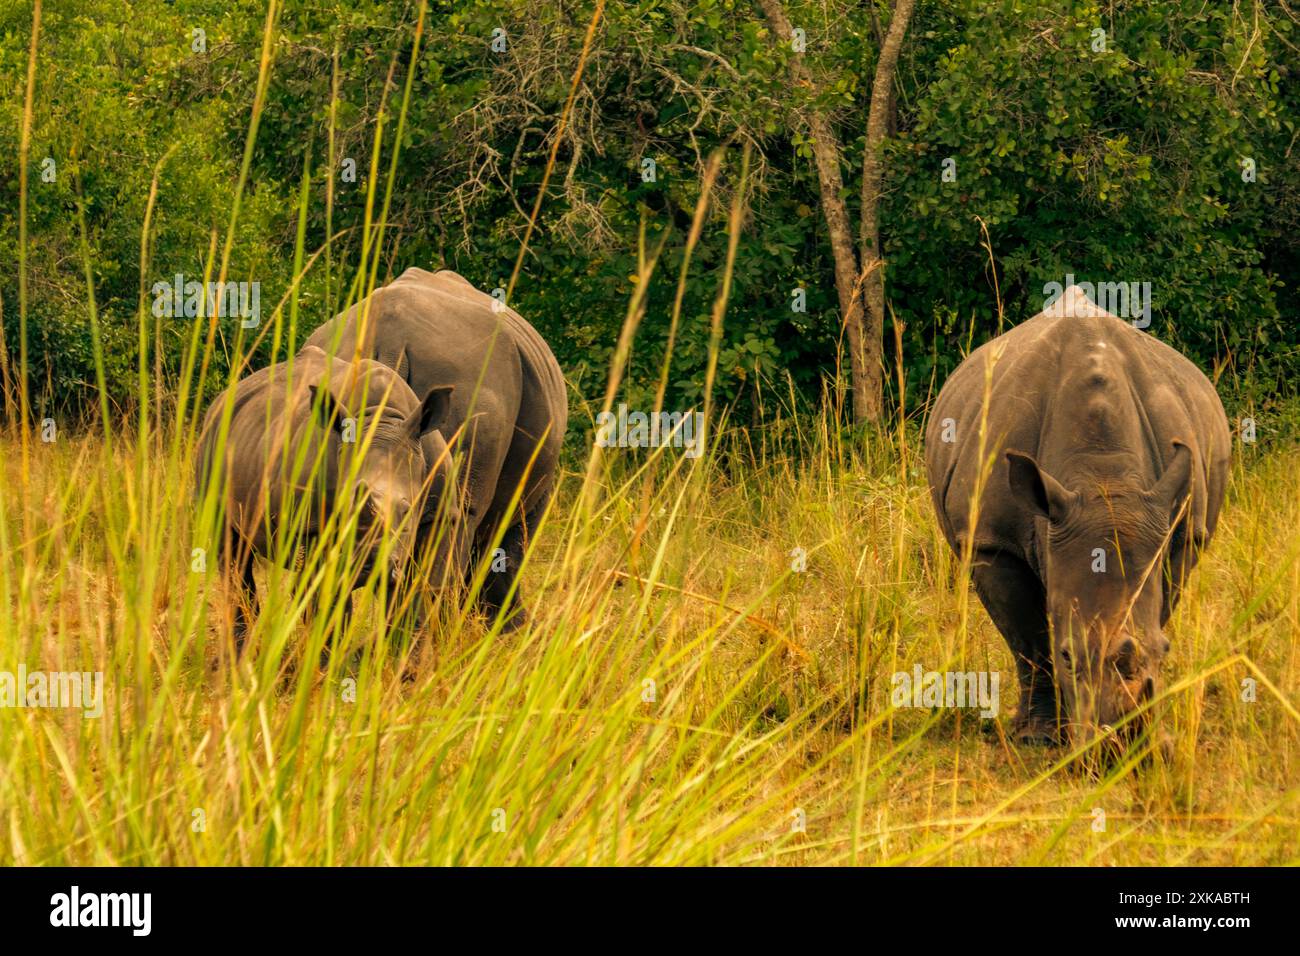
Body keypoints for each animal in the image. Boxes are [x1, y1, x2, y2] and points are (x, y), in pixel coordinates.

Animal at [196, 345, 458, 647]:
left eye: (407, 512)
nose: (370, 565)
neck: (381, 418)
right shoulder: (310, 524)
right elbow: (326, 605)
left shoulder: (439, 515)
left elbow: (419, 598)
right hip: (212, 440)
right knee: (232, 553)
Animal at [924, 286, 1230, 749]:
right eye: (1068, 655)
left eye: (1167, 651)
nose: (1124, 747)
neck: (1103, 479)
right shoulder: (991, 540)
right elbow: (1030, 642)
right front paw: (1039, 737)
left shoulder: (1179, 534)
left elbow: (1158, 610)